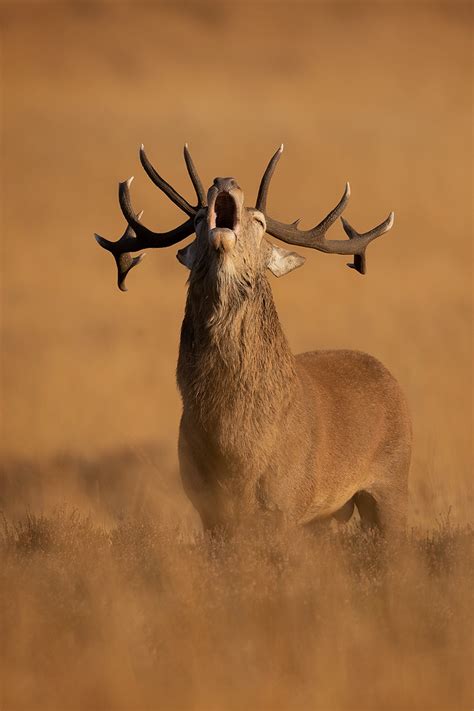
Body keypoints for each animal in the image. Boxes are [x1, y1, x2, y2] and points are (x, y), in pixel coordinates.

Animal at [95, 145, 411, 536]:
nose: (225, 179)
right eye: (197, 219)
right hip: (325, 517)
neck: (235, 446)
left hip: (393, 480)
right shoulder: (205, 504)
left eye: (259, 223)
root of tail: (390, 378)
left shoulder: (286, 502)